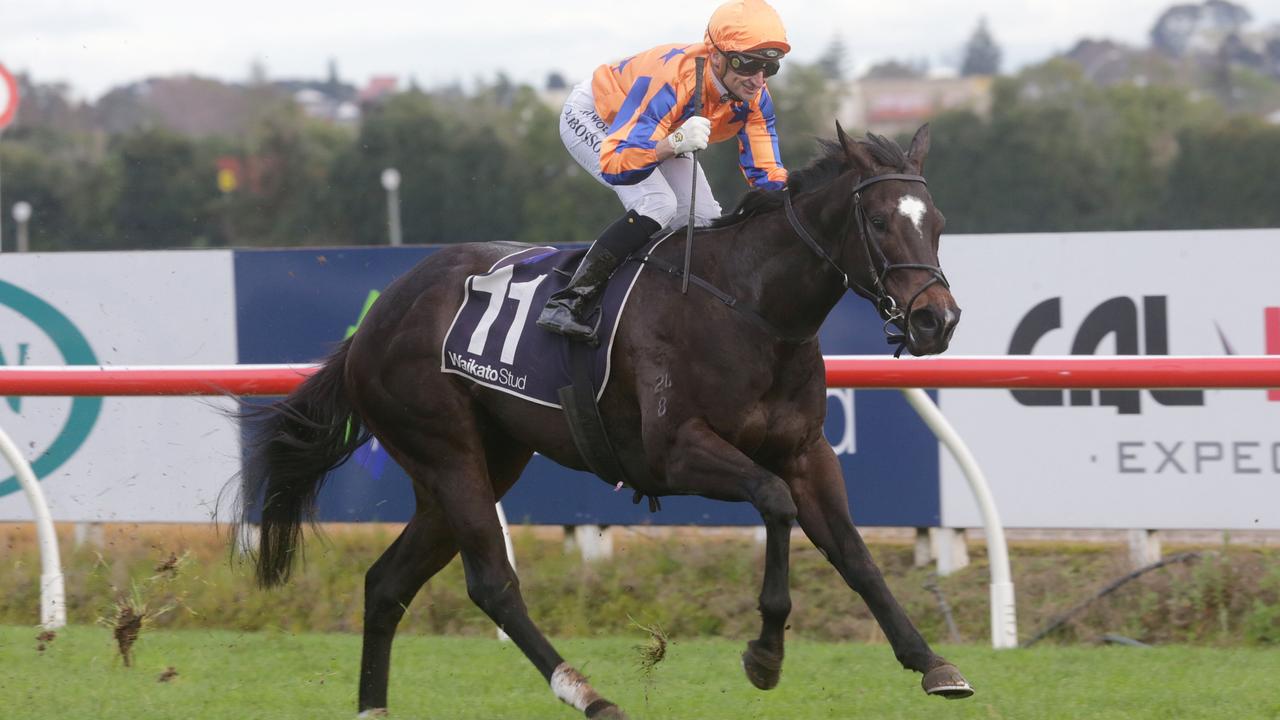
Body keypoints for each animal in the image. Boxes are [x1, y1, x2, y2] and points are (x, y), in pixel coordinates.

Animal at [237, 122, 968, 719]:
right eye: (880, 221)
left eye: (936, 221)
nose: (937, 320)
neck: (750, 306)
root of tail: (373, 323)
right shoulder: (677, 452)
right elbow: (775, 503)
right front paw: (765, 654)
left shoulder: (806, 451)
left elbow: (854, 553)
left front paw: (932, 663)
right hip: (444, 450)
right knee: (493, 584)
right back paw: (587, 693)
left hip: (474, 464)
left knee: (386, 583)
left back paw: (375, 706)